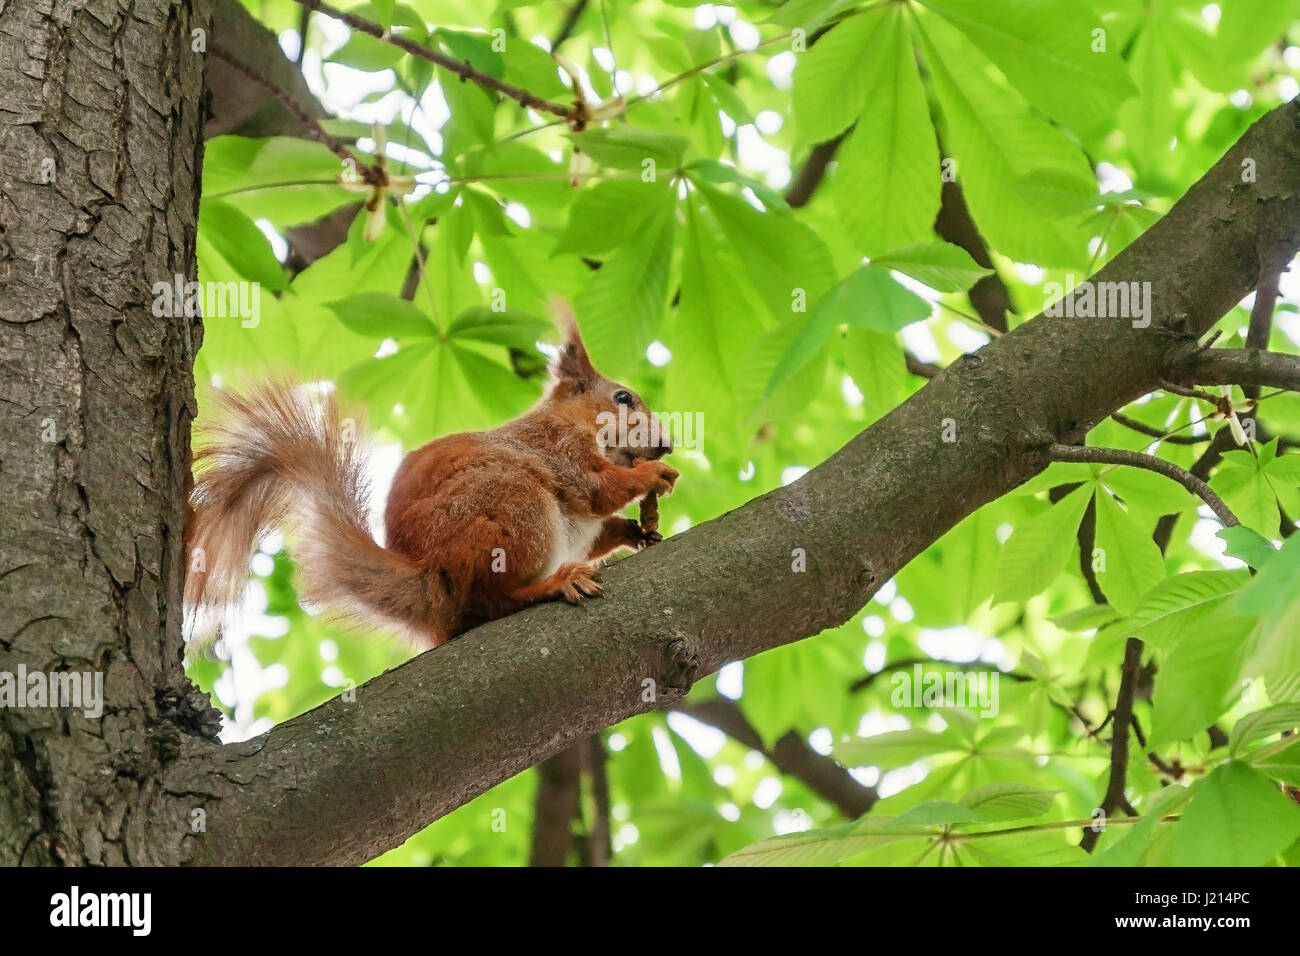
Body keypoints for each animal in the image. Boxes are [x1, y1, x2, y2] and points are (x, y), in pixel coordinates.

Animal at [183, 312, 677, 649]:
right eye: (623, 398)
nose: (667, 445)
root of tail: (433, 581)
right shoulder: (556, 449)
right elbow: (597, 490)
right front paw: (654, 475)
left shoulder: (583, 525)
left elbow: (600, 527)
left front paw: (637, 531)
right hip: (515, 506)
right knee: (491, 598)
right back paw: (553, 584)